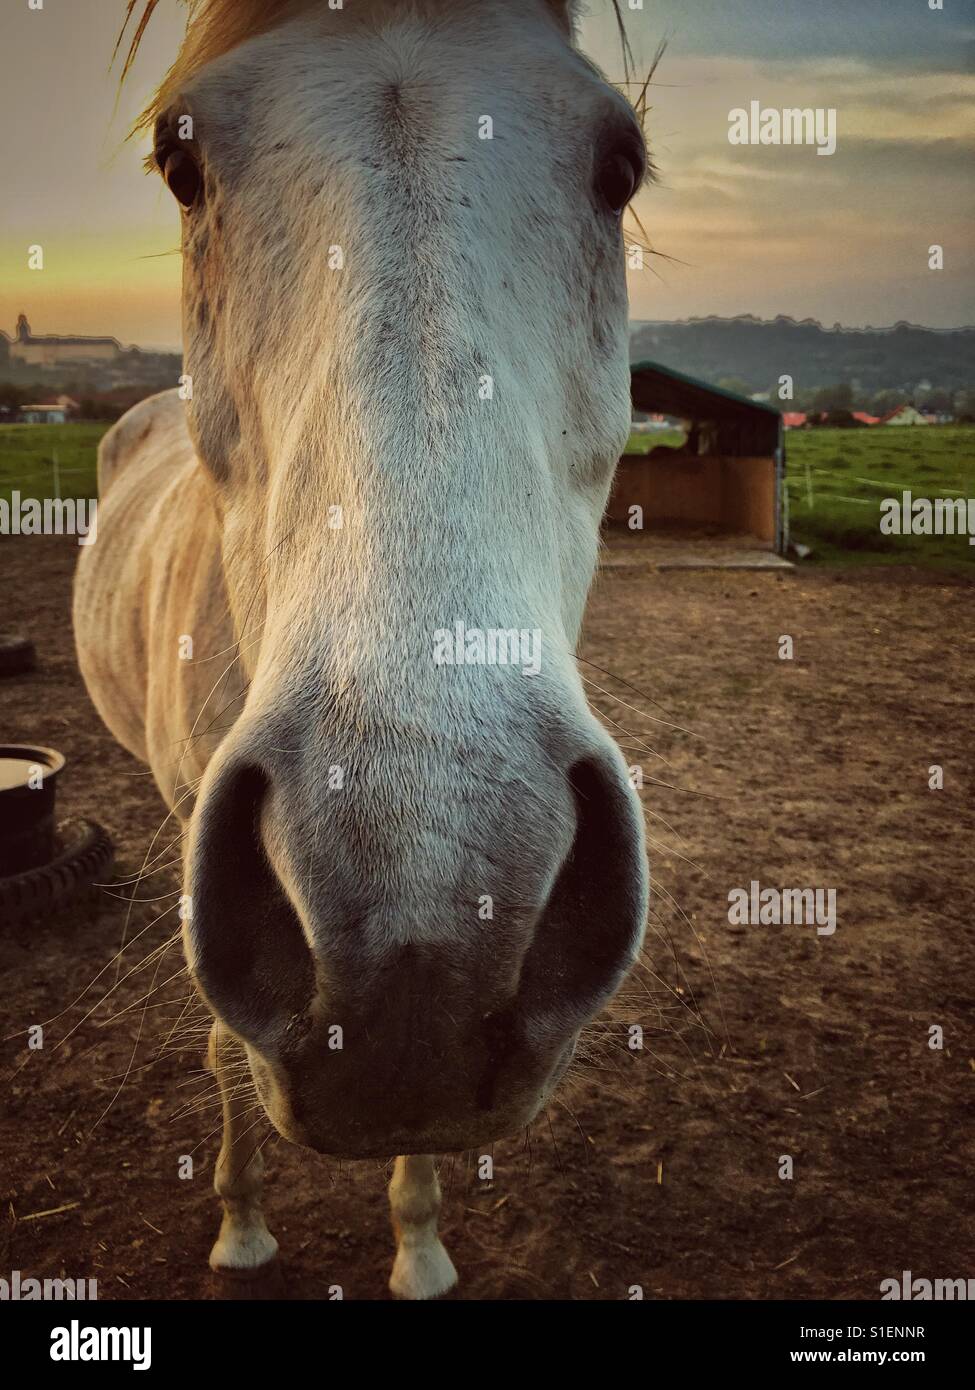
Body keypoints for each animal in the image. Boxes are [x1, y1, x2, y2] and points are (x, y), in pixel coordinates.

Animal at [74, 0, 650, 1299]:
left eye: (620, 163)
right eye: (181, 162)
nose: (423, 901)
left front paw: (422, 1247)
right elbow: (221, 1052)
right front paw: (240, 1227)